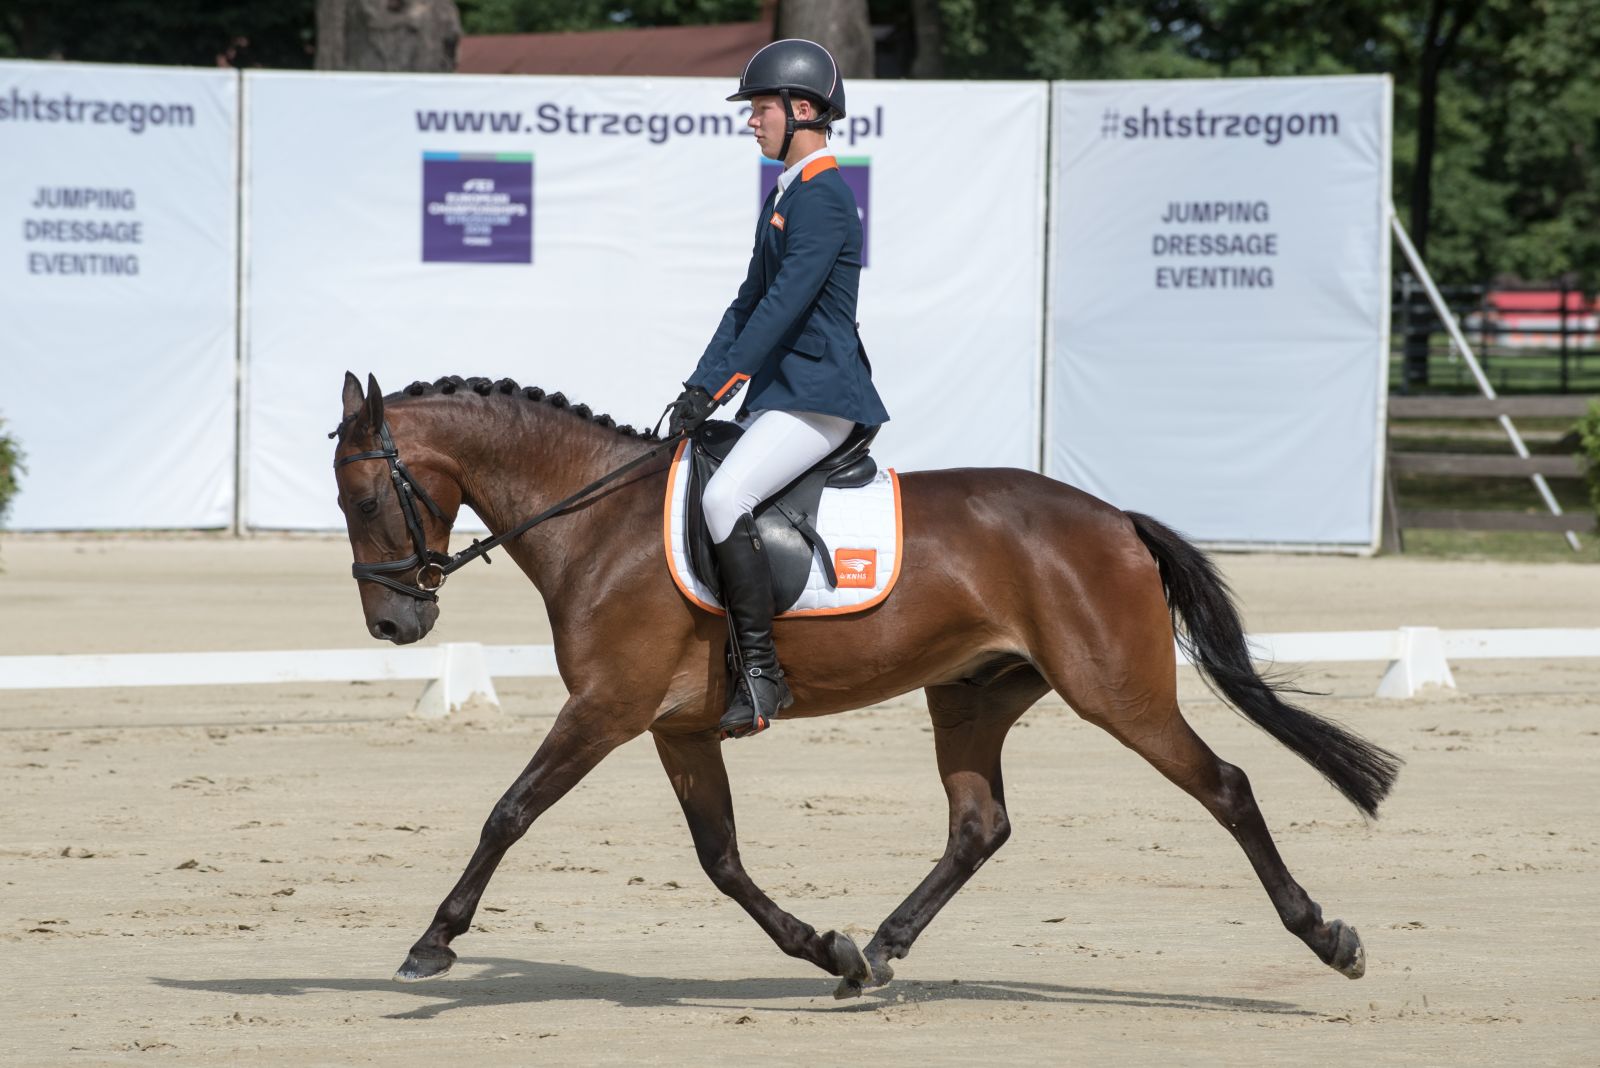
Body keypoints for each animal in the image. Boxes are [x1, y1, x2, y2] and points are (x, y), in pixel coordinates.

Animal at [330, 372, 1401, 997]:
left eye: (365, 494)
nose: (393, 626)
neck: (596, 521)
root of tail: (1113, 518)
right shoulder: (678, 728)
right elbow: (721, 859)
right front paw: (827, 948)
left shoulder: (605, 710)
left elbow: (508, 813)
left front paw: (432, 943)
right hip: (971, 694)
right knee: (979, 825)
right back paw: (882, 951)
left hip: (1117, 693)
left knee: (1227, 786)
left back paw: (1329, 939)